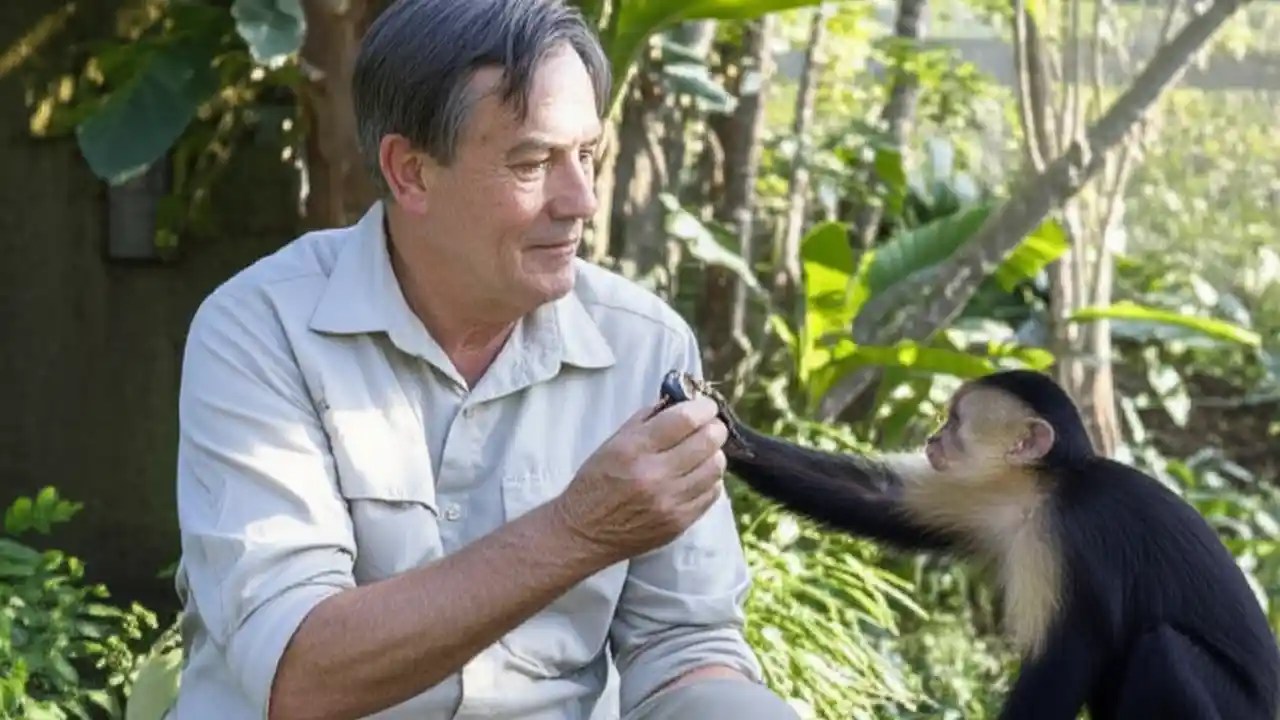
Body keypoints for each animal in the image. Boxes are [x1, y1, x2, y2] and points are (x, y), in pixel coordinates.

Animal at [657, 368, 1280, 720]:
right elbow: (878, 500)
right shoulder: (995, 500)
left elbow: (1062, 661)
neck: (1046, 486)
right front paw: (720, 425)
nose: (934, 437)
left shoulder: (1074, 539)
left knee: (1161, 650)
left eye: (954, 421)